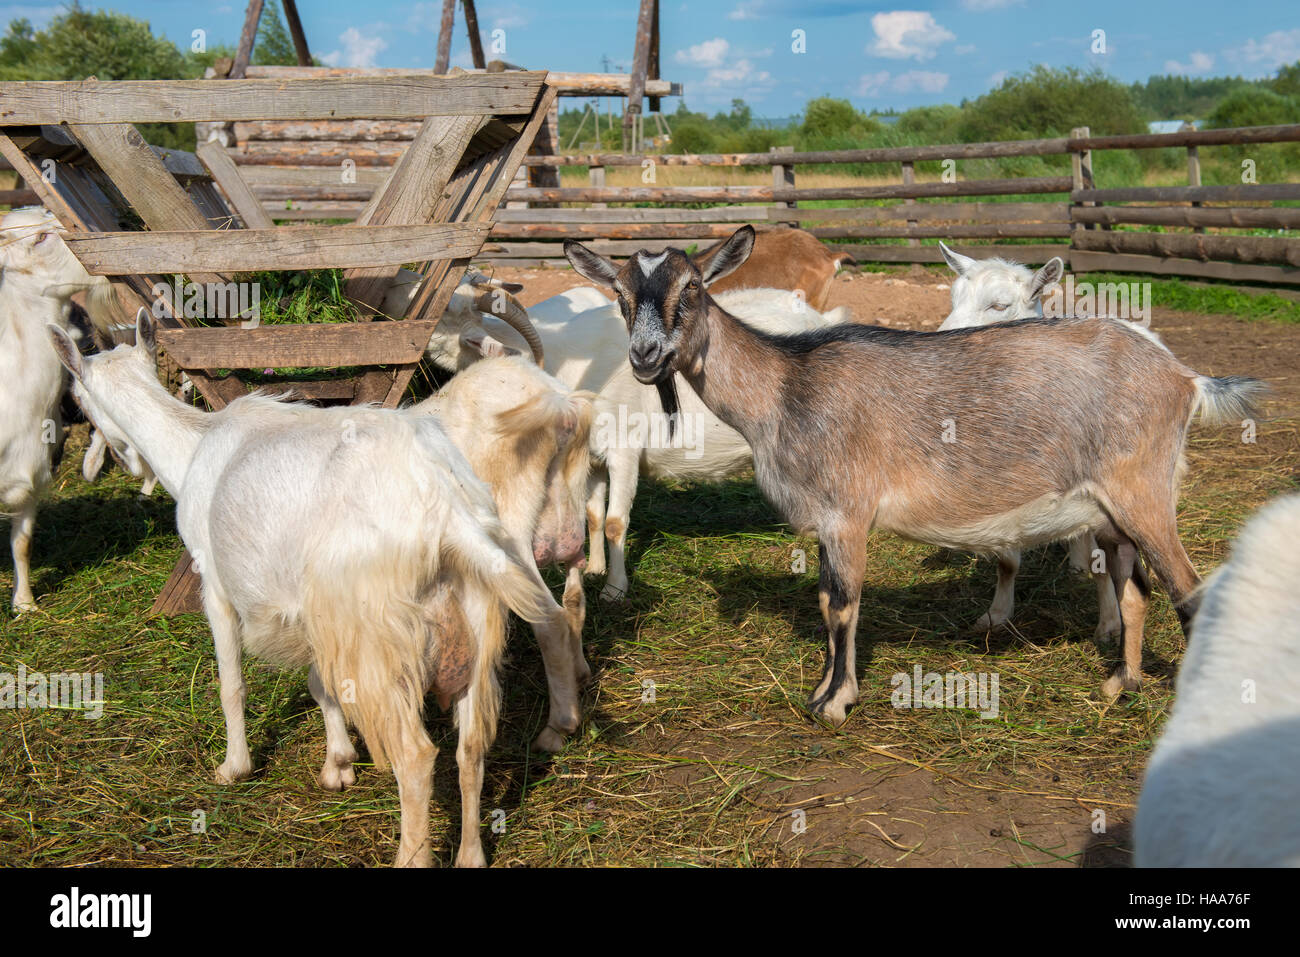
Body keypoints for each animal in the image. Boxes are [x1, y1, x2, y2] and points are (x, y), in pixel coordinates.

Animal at [49, 310, 566, 867]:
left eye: (78, 397)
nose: (95, 464)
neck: (190, 452)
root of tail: (450, 514)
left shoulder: (217, 584)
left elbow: (232, 684)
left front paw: (234, 767)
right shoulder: (314, 611)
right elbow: (321, 685)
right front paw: (338, 763)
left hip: (376, 636)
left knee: (416, 756)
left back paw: (411, 853)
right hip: (472, 624)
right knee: (471, 748)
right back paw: (471, 853)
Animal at [416, 356, 596, 751]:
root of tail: (560, 404)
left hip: (511, 523)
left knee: (551, 619)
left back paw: (558, 725)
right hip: (569, 513)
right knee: (574, 595)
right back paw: (579, 675)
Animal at [421, 276, 845, 601]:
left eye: (445, 311)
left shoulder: (624, 449)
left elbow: (614, 522)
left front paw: (615, 590)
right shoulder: (591, 459)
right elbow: (592, 515)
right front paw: (593, 570)